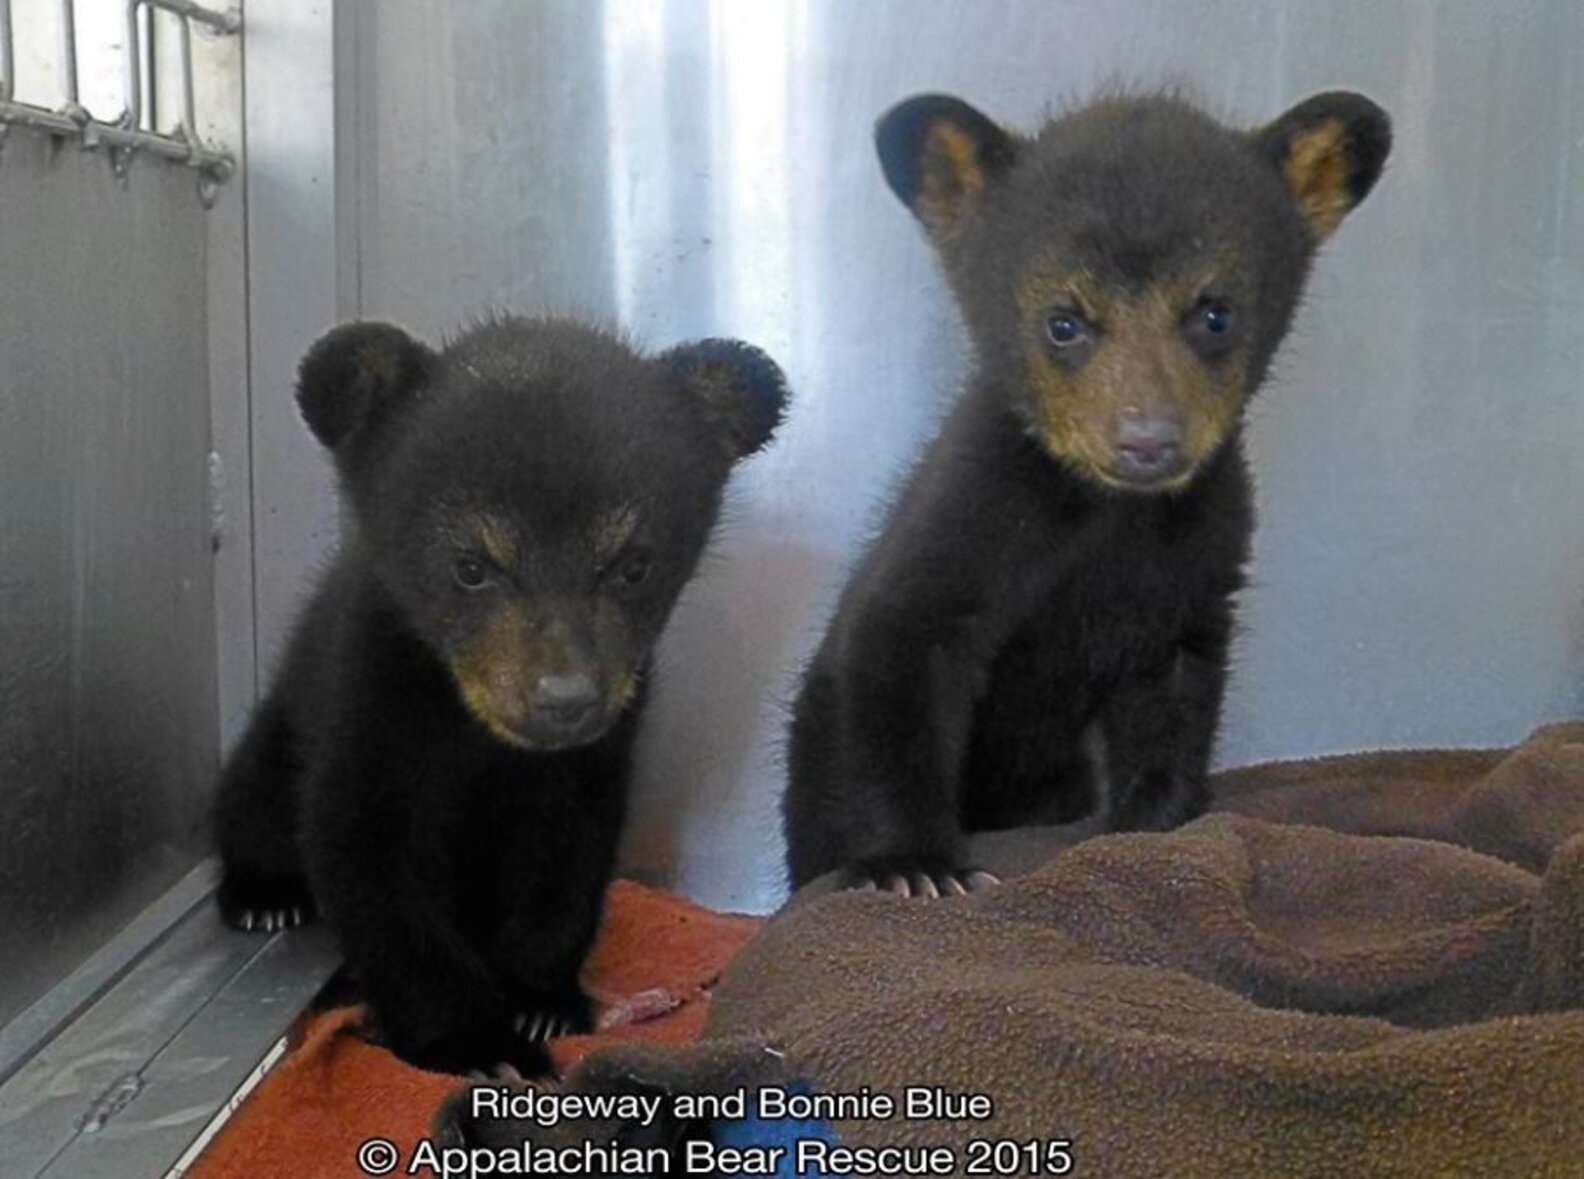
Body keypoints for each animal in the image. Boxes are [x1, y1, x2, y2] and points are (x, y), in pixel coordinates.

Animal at [215, 315, 788, 1074]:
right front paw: (478, 1044)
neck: (480, 735)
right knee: (251, 804)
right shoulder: (368, 700)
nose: (565, 698)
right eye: (470, 566)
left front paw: (542, 1001)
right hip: (276, 740)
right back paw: (264, 896)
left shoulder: (593, 759)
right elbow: (370, 864)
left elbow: (566, 863)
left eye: (634, 564)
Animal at [783, 89, 1391, 895]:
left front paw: (1157, 830)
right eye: (1063, 322)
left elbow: (1176, 706)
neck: (1111, 516)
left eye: (1215, 312)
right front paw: (913, 867)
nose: (1147, 440)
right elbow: (899, 653)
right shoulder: (969, 516)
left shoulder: (1195, 576)